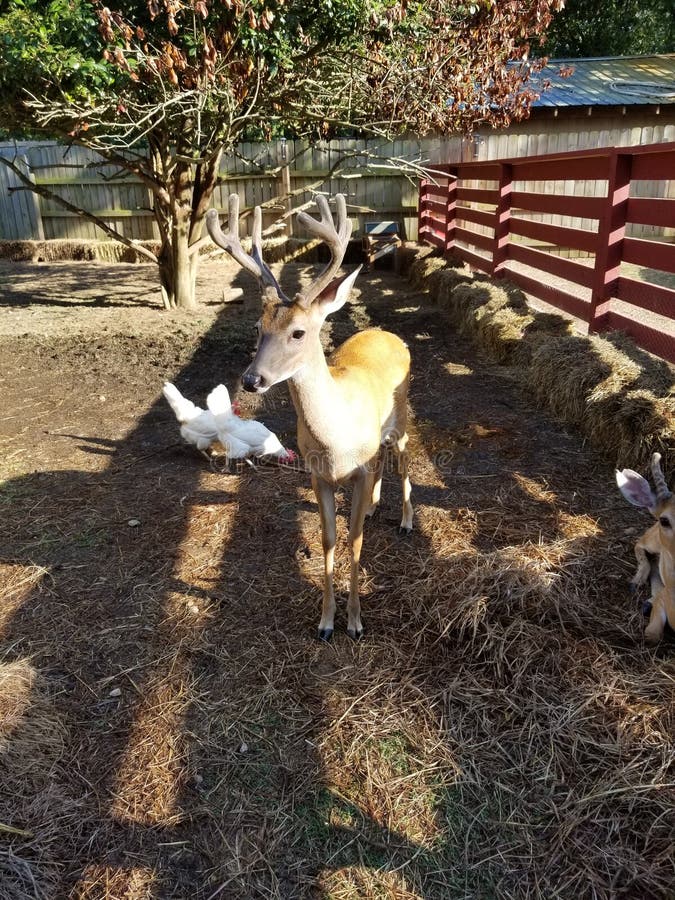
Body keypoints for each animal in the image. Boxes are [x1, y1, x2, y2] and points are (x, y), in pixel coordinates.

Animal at [206, 193, 413, 641]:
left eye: (298, 332)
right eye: (258, 326)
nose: (251, 379)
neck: (335, 441)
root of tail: (386, 333)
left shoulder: (358, 468)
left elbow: (355, 541)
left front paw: (356, 622)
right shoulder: (317, 474)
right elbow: (329, 539)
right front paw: (326, 621)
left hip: (404, 414)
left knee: (403, 458)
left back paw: (407, 520)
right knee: (383, 463)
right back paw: (373, 506)